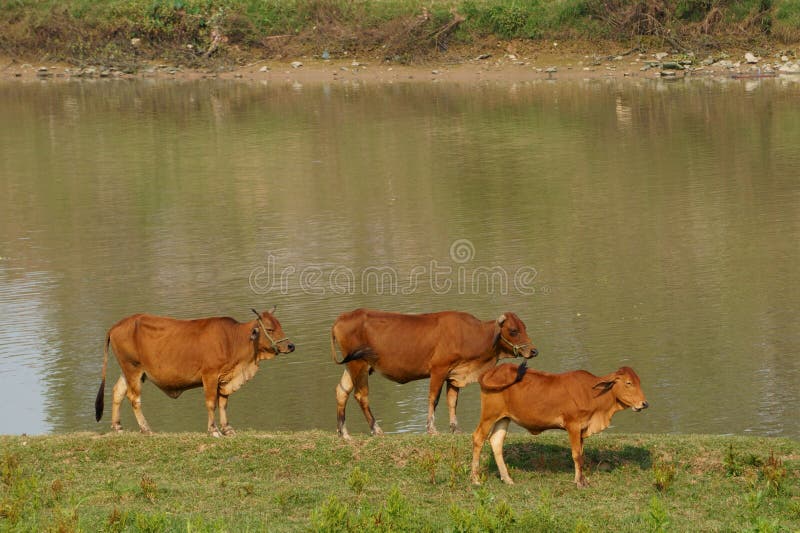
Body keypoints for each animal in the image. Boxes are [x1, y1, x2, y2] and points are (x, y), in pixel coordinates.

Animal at [94, 307, 295, 437]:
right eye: (269, 329)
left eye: (280, 325)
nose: (290, 346)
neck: (233, 339)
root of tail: (117, 325)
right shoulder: (210, 376)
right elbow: (211, 403)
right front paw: (213, 430)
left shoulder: (225, 379)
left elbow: (223, 403)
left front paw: (227, 429)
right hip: (133, 368)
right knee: (134, 398)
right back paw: (146, 429)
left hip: (130, 371)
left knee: (118, 392)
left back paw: (117, 426)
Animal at [330, 309, 538, 439]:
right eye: (513, 330)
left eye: (525, 327)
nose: (534, 351)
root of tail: (342, 317)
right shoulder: (439, 370)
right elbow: (433, 399)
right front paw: (431, 429)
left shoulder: (454, 374)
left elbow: (452, 401)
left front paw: (455, 429)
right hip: (359, 365)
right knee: (361, 396)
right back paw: (376, 429)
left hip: (352, 366)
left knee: (342, 392)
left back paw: (344, 433)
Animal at [471, 362, 648, 487]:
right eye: (628, 383)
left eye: (639, 381)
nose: (644, 404)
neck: (592, 393)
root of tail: (492, 370)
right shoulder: (573, 426)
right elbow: (576, 455)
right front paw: (579, 483)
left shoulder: (582, 429)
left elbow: (581, 455)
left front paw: (582, 479)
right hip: (489, 415)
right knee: (478, 438)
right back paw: (475, 479)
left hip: (504, 418)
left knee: (496, 441)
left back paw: (507, 479)